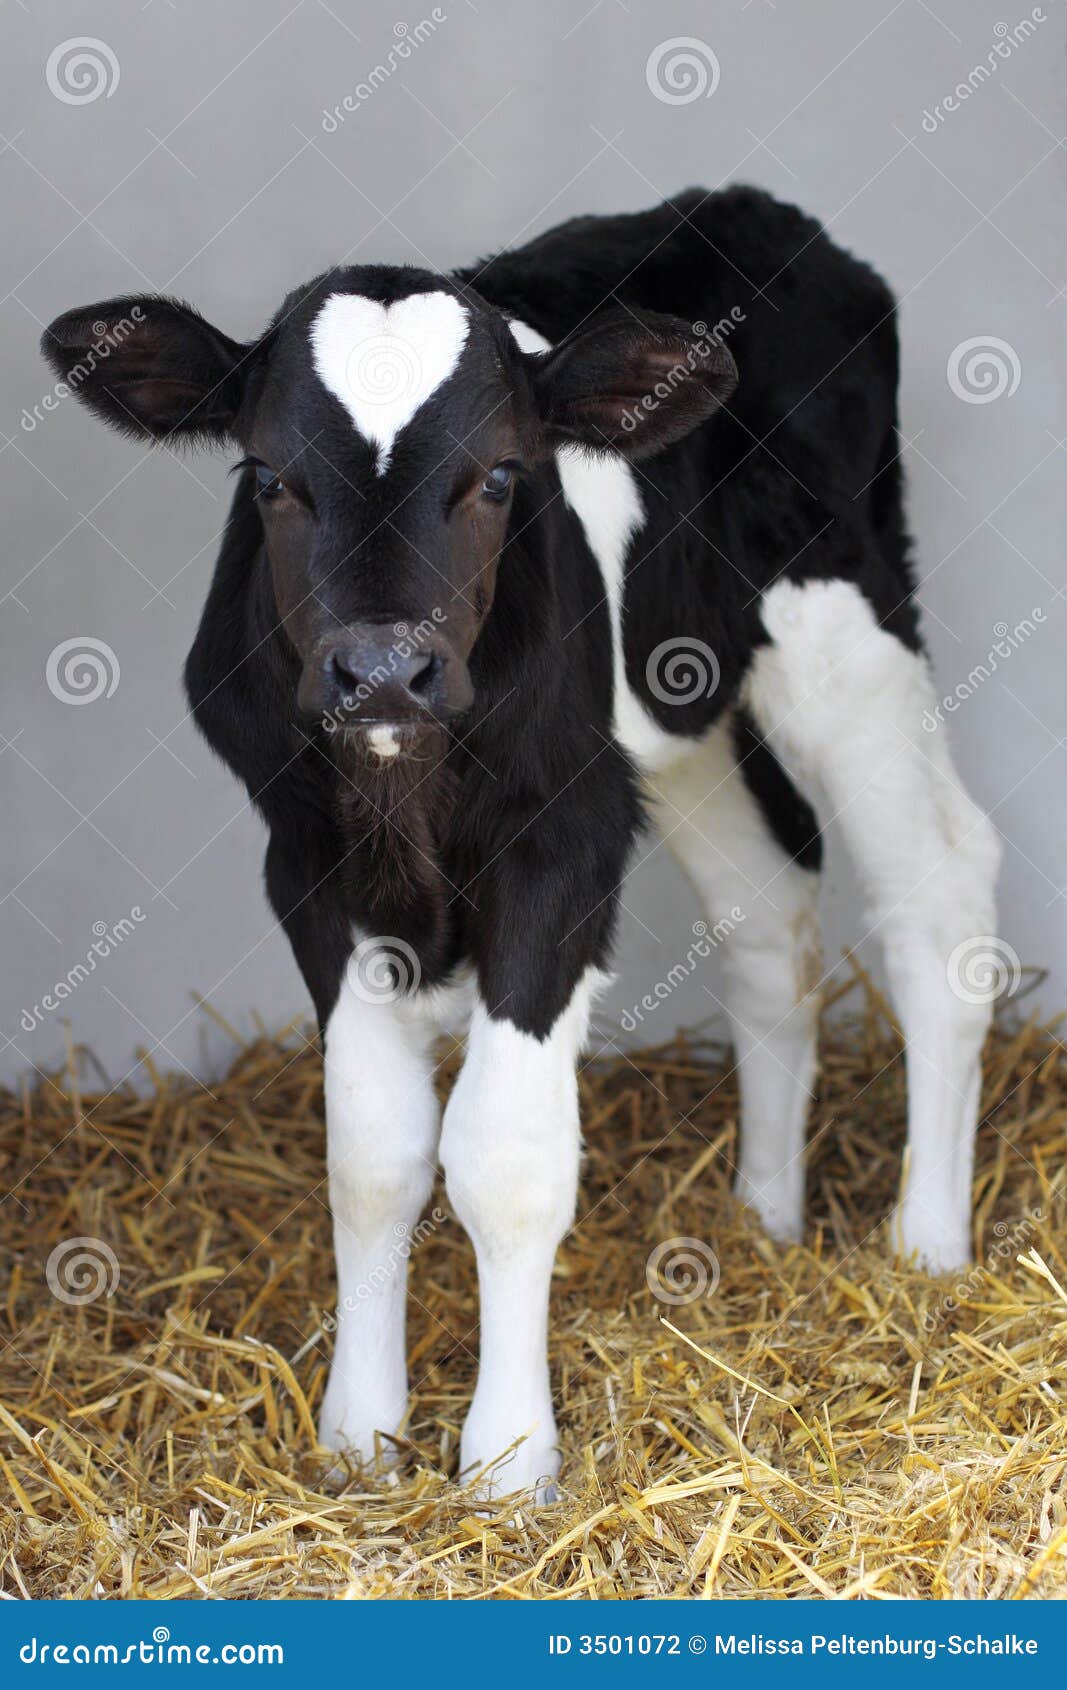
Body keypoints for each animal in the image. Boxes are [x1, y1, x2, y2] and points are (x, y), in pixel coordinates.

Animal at [42, 185, 1000, 1501]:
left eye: (500, 474)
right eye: (269, 476)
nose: (380, 668)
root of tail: (752, 209)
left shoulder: (566, 838)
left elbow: (500, 1153)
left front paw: (505, 1462)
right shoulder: (305, 861)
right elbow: (372, 1153)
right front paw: (358, 1438)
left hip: (841, 626)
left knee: (938, 890)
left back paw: (924, 1250)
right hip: (677, 714)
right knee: (767, 916)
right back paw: (761, 1218)